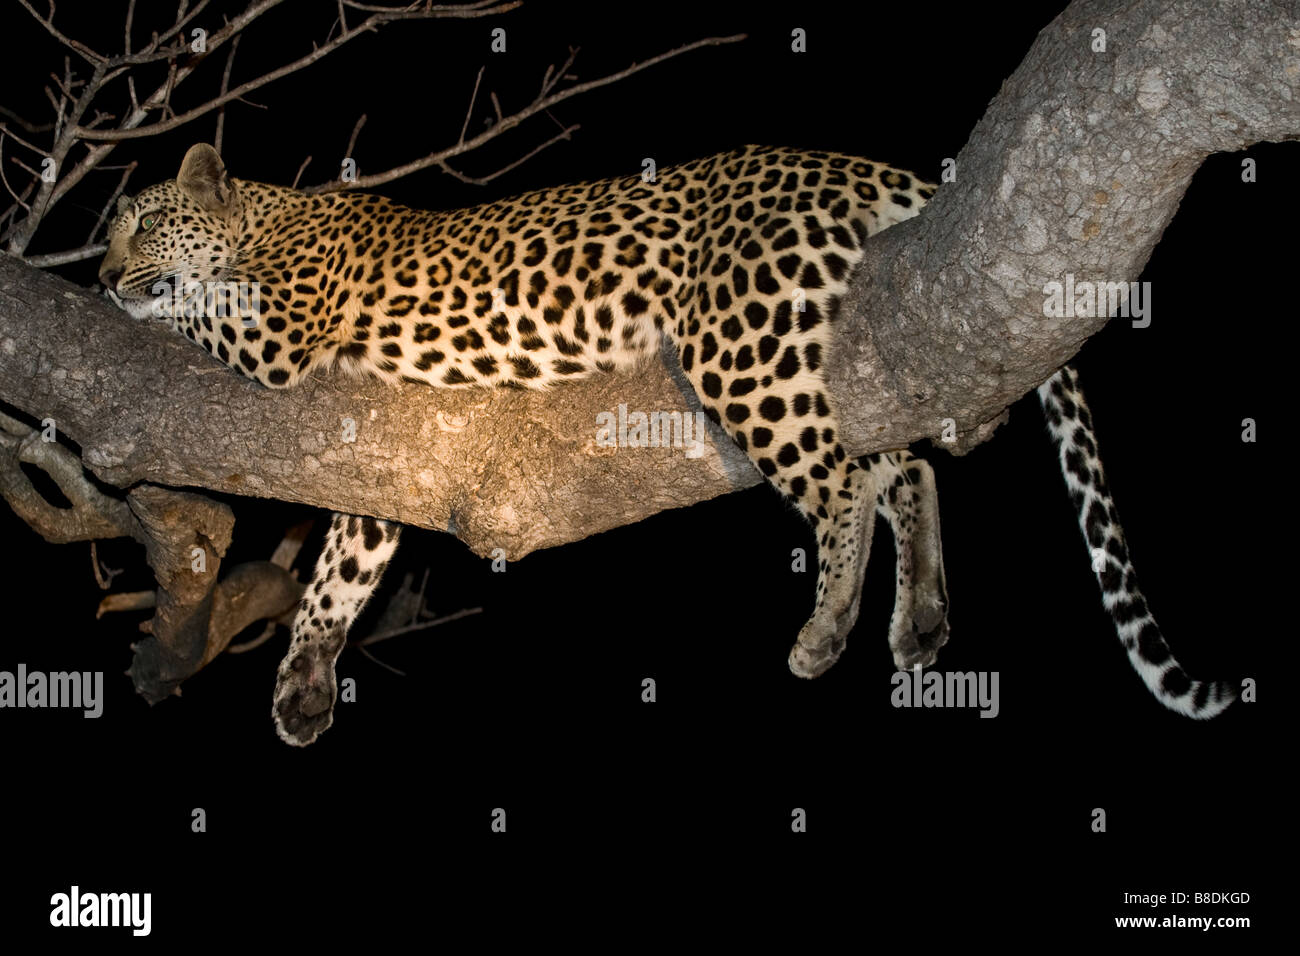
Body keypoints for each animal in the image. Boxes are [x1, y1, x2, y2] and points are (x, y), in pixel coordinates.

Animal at [99, 142, 1235, 745]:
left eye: (143, 224)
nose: (104, 273)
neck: (263, 216)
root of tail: (849, 161)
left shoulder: (281, 330)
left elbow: (194, 309)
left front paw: (123, 299)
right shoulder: (373, 472)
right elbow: (340, 570)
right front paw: (300, 688)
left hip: (741, 341)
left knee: (844, 486)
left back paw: (827, 628)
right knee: (905, 463)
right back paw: (918, 617)